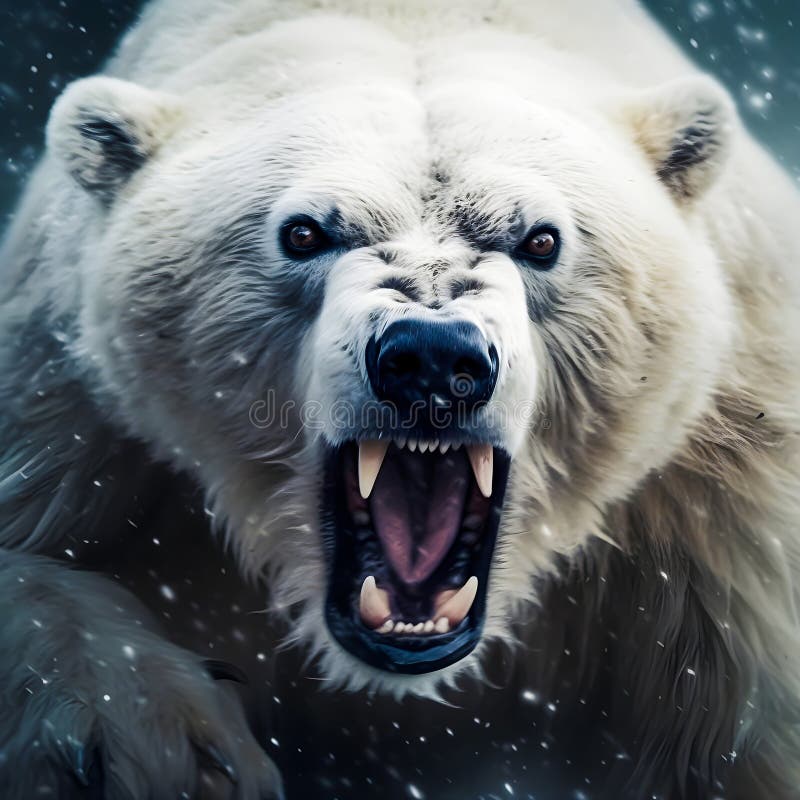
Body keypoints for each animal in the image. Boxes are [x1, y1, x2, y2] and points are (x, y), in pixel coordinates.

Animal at [1, 0, 800, 797]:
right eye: (303, 232)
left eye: (542, 240)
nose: (434, 358)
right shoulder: (67, 404)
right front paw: (162, 737)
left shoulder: (725, 505)